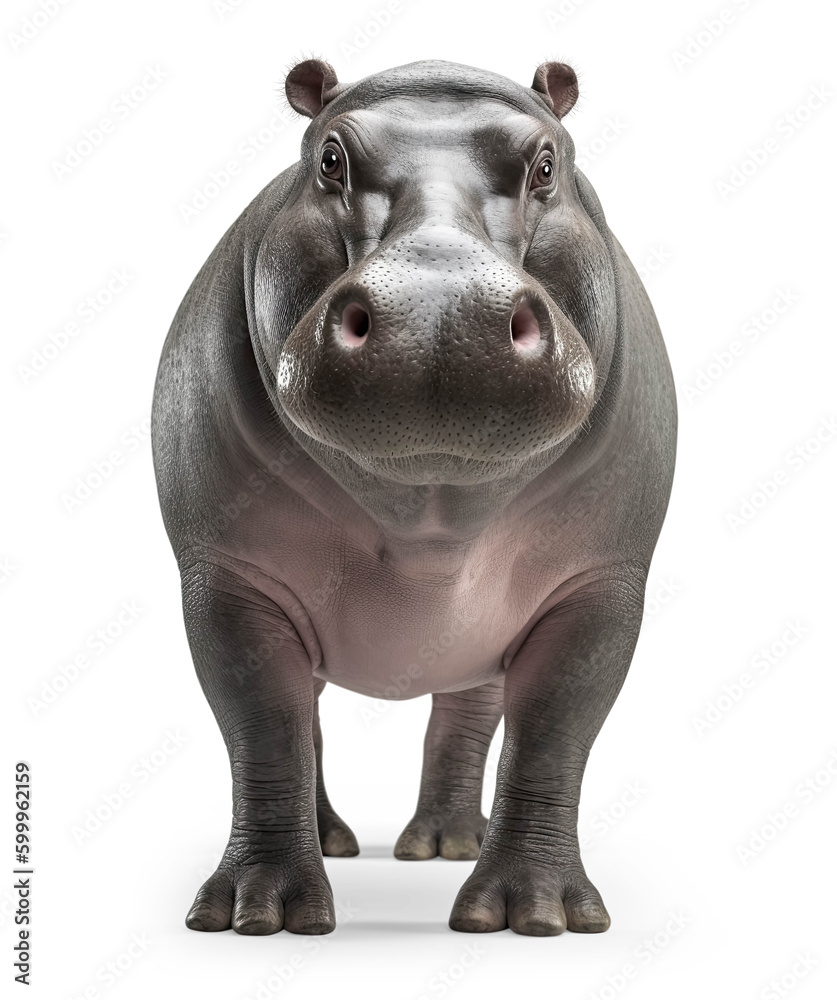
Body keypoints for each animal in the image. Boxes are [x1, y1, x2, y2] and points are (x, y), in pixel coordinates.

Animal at [151, 57, 676, 938]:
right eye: (328, 158)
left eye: (546, 164)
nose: (439, 312)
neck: (429, 516)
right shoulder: (227, 582)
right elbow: (263, 730)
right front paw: (259, 912)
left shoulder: (598, 588)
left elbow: (552, 735)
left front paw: (540, 916)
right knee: (306, 720)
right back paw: (332, 841)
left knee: (468, 716)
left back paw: (447, 846)